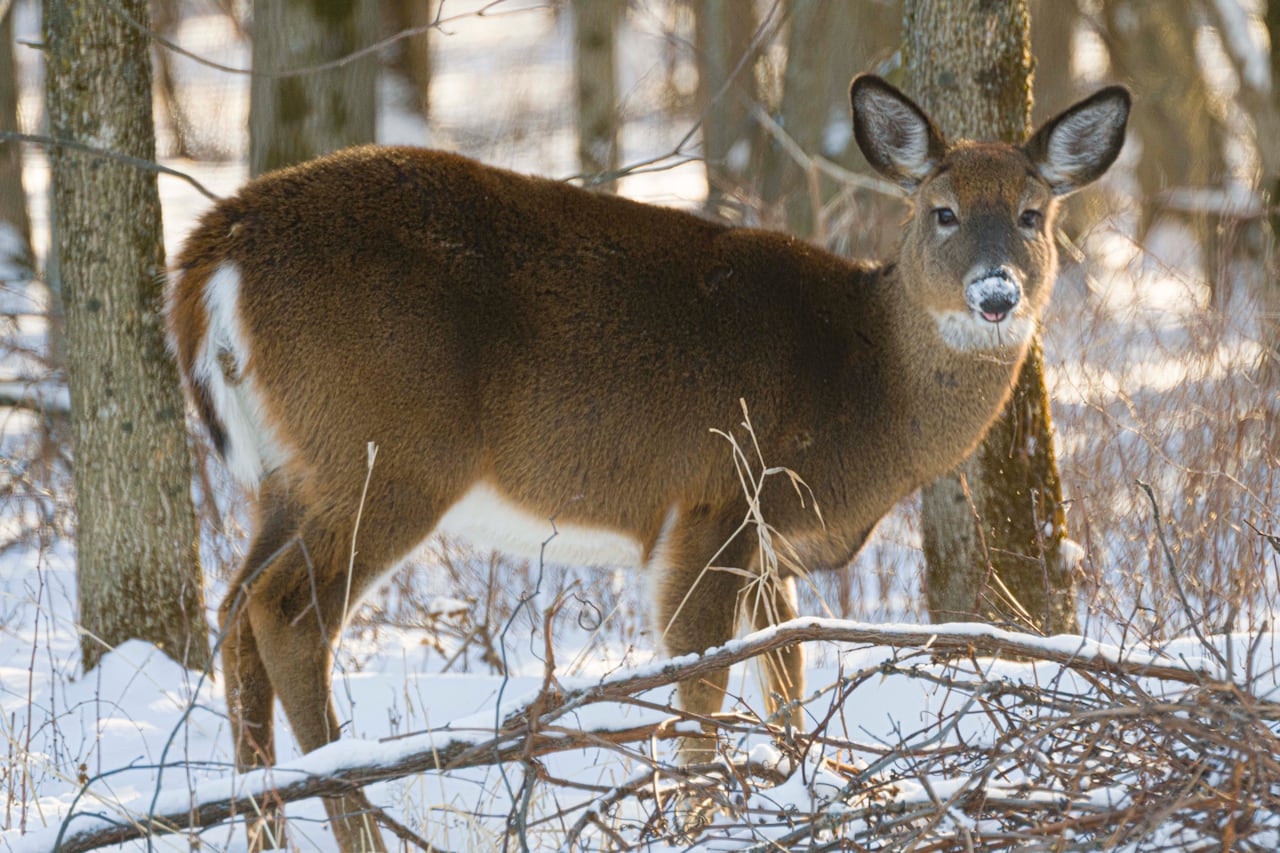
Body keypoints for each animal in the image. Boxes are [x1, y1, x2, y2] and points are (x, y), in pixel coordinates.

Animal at [167, 75, 1129, 850]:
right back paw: (354, 819)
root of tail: (215, 249)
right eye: (943, 211)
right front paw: (694, 817)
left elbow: (785, 676)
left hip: (292, 471)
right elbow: (700, 682)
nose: (996, 292)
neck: (865, 388)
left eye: (1034, 214)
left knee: (235, 606)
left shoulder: (770, 543)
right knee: (286, 611)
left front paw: (795, 789)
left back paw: (258, 821)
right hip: (391, 450)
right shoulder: (716, 496)